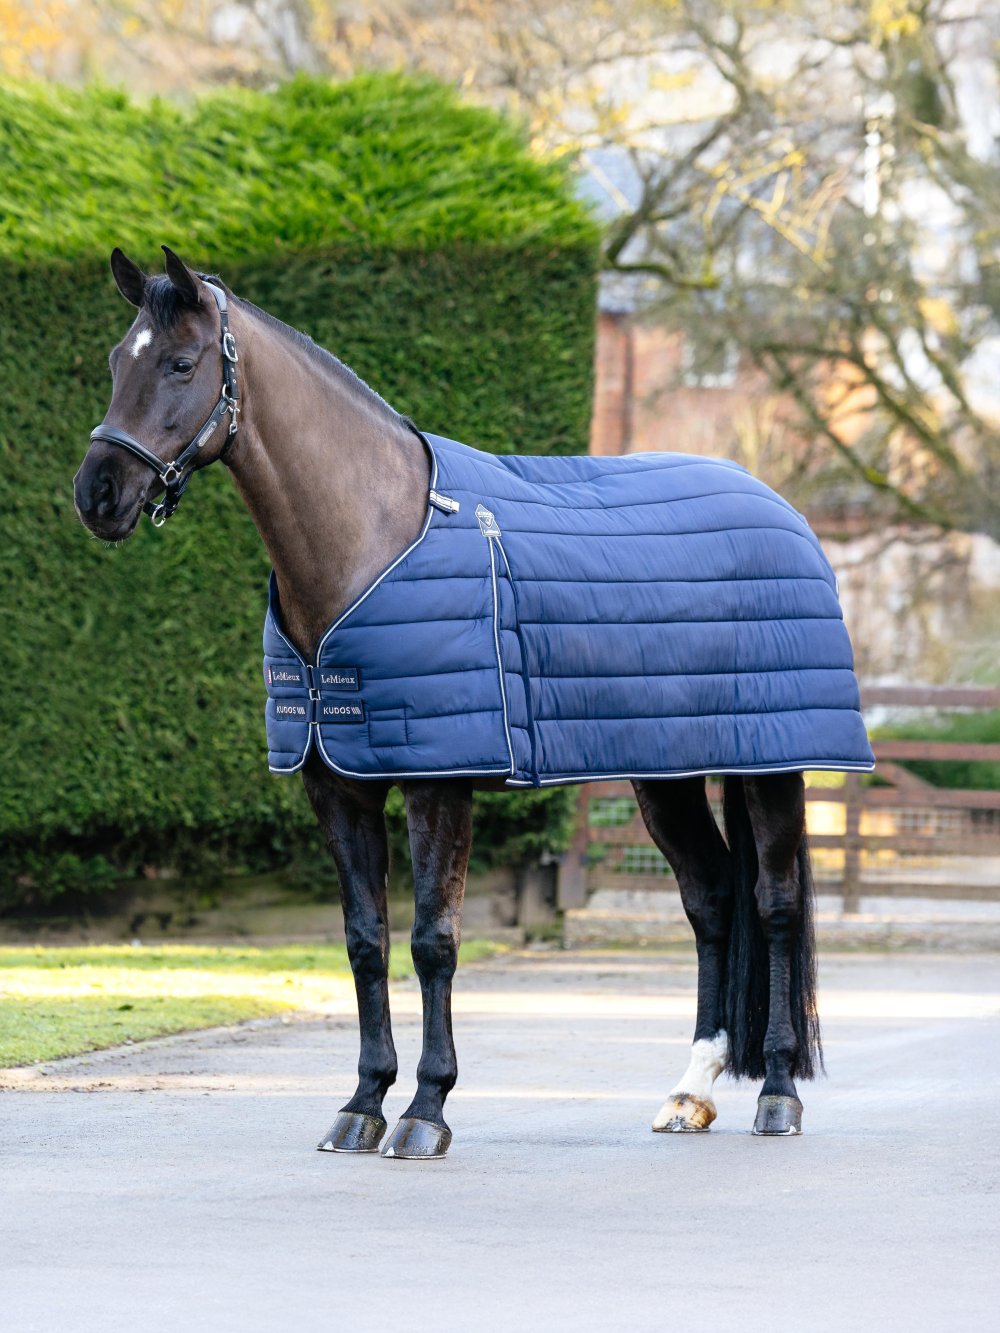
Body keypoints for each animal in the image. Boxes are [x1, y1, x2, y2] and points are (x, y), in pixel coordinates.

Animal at [74, 245, 859, 1157]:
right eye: (114, 361)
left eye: (181, 363)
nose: (97, 493)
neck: (373, 537)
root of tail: (781, 508)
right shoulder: (336, 784)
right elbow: (365, 941)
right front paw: (361, 1103)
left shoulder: (439, 782)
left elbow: (432, 941)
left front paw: (425, 1108)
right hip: (666, 773)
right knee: (711, 902)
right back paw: (690, 1091)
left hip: (775, 766)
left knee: (773, 904)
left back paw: (777, 1094)